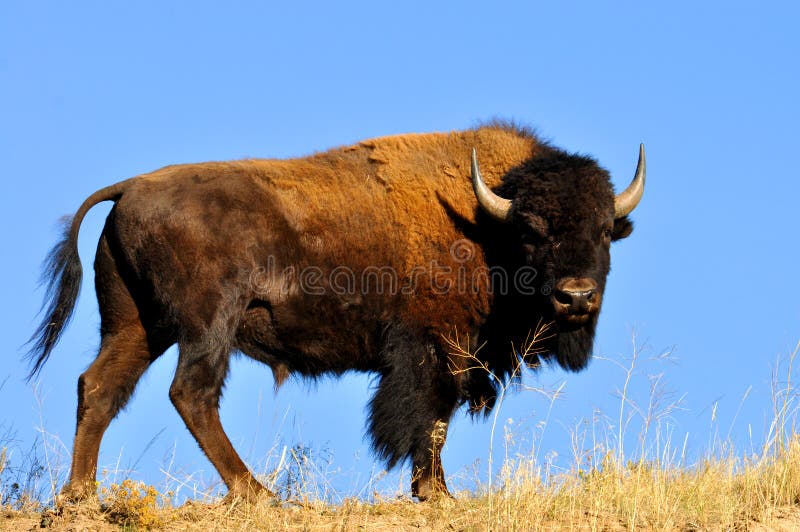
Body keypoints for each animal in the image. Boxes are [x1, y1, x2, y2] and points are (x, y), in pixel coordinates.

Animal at [28, 123, 644, 502]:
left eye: (603, 231)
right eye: (532, 231)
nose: (576, 297)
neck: (484, 222)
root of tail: (129, 188)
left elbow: (435, 422)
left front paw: (434, 490)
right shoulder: (434, 350)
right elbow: (429, 420)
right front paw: (436, 492)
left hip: (137, 326)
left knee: (100, 386)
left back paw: (79, 495)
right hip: (207, 325)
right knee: (192, 394)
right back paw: (259, 494)